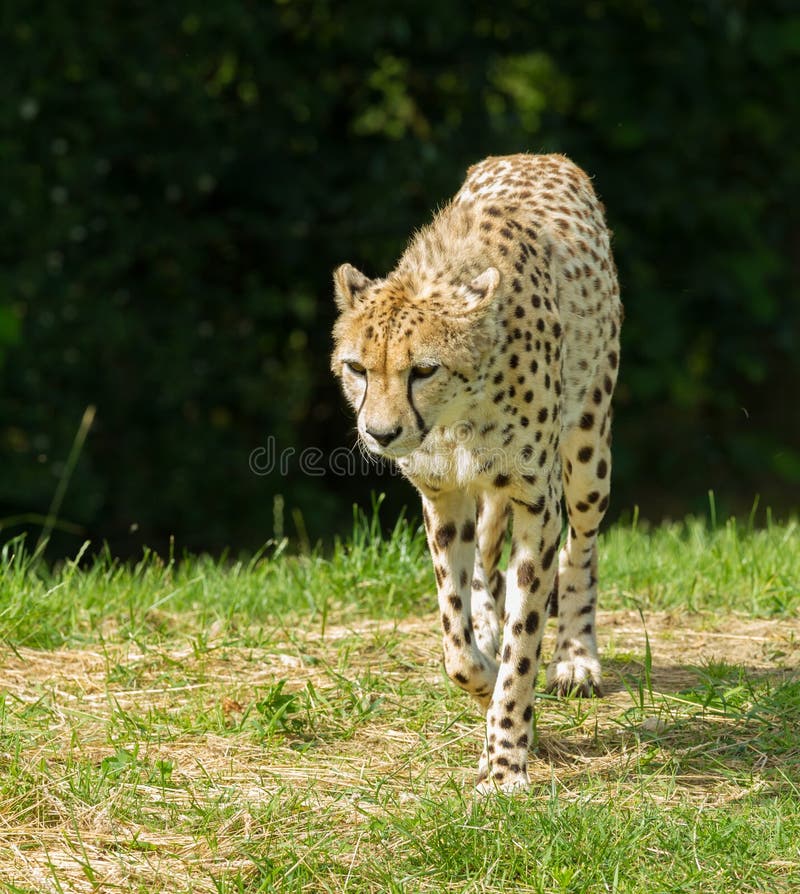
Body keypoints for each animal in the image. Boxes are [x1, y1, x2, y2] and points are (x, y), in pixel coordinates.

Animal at [331, 153, 622, 793]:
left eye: (423, 369)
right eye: (357, 368)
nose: (380, 434)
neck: (459, 414)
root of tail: (538, 155)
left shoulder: (538, 504)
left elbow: (525, 642)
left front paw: (506, 760)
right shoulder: (443, 495)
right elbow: (455, 638)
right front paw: (483, 676)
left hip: (588, 446)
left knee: (582, 546)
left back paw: (575, 656)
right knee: (487, 558)